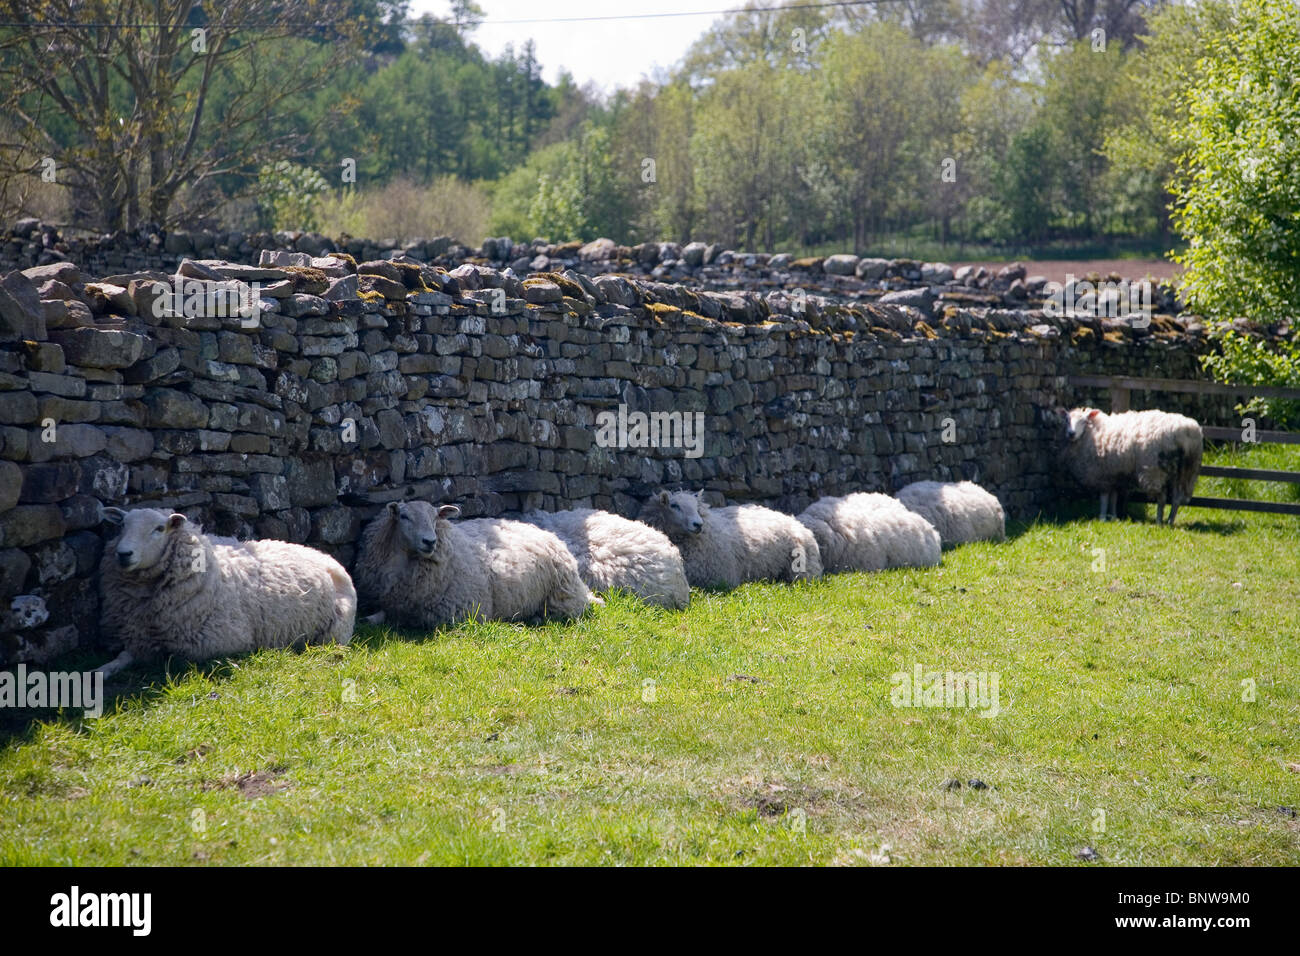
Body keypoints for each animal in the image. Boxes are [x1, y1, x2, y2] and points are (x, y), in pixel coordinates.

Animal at [95, 507, 356, 677]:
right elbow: (122, 657)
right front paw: (101, 671)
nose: (123, 554)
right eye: (122, 525)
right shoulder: (137, 636)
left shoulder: (217, 642)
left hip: (335, 630)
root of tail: (320, 553)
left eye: (159, 529)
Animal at [354, 500, 601, 629]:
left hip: (562, 596)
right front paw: (369, 619)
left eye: (435, 518)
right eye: (404, 517)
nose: (430, 541)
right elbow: (381, 616)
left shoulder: (460, 614)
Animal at [638, 490, 822, 589]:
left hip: (800, 569)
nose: (698, 524)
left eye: (696, 507)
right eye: (674, 505)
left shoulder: (719, 579)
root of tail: (794, 520)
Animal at [1058, 407, 1203, 524]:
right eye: (1067, 420)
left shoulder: (1102, 475)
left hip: (1156, 469)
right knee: (1176, 499)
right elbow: (1113, 497)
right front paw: (1114, 517)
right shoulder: (1114, 474)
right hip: (1184, 471)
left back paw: (1159, 522)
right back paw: (1170, 521)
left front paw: (1102, 518)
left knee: (1161, 499)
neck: (1092, 432)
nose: (1071, 433)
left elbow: (1104, 498)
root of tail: (1188, 432)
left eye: (1083, 421)